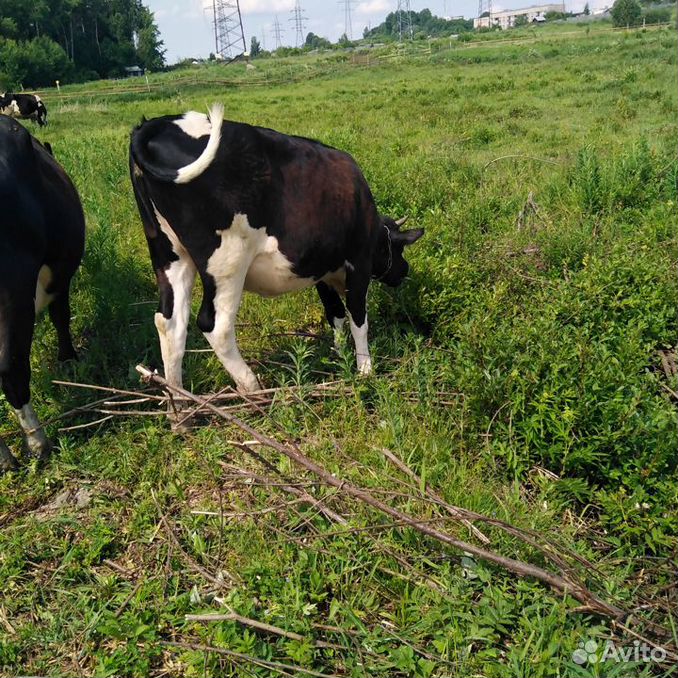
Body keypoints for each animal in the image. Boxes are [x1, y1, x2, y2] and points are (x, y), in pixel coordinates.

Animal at [129, 104, 422, 402]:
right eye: (398, 248)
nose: (404, 270)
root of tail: (155, 124)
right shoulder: (358, 264)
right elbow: (357, 318)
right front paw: (365, 369)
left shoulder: (323, 272)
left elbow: (336, 315)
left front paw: (341, 358)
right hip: (228, 261)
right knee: (215, 325)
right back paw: (252, 386)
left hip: (169, 255)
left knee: (170, 324)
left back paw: (179, 401)